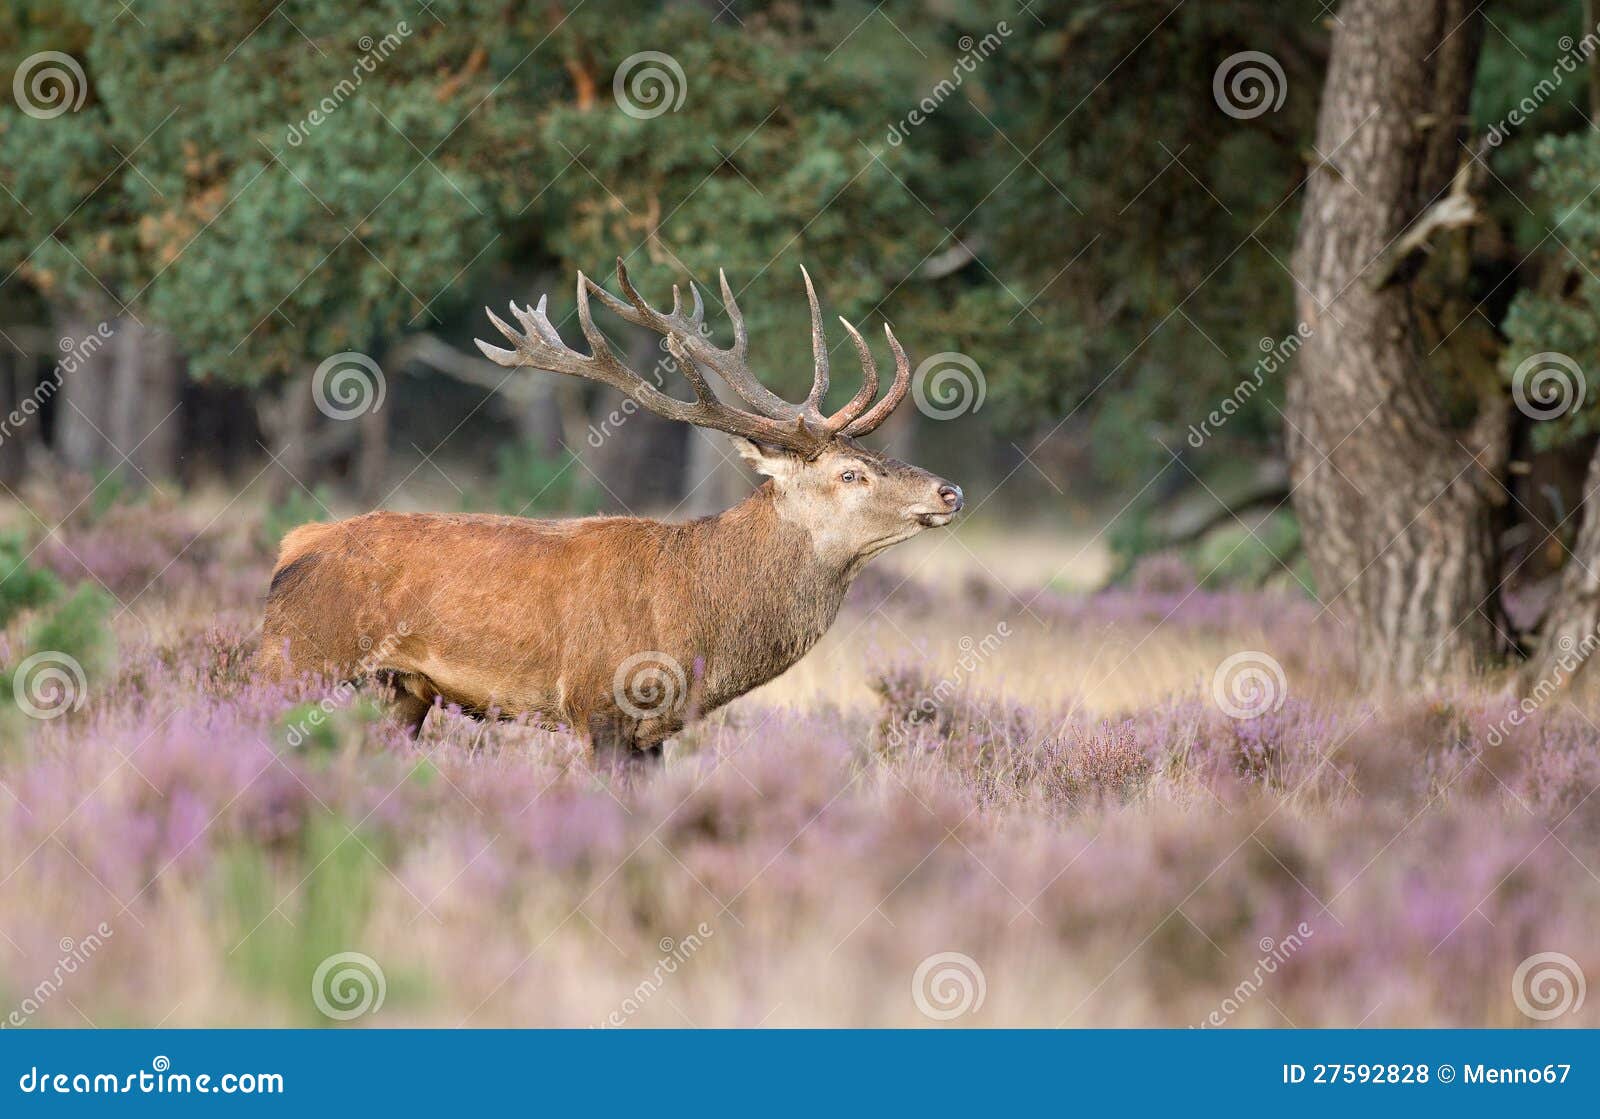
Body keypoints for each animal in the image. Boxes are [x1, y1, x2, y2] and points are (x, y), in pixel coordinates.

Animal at [258, 260, 964, 766]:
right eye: (851, 473)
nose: (949, 492)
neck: (696, 615)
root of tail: (293, 546)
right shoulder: (597, 704)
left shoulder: (654, 738)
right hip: (296, 662)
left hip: (399, 692)